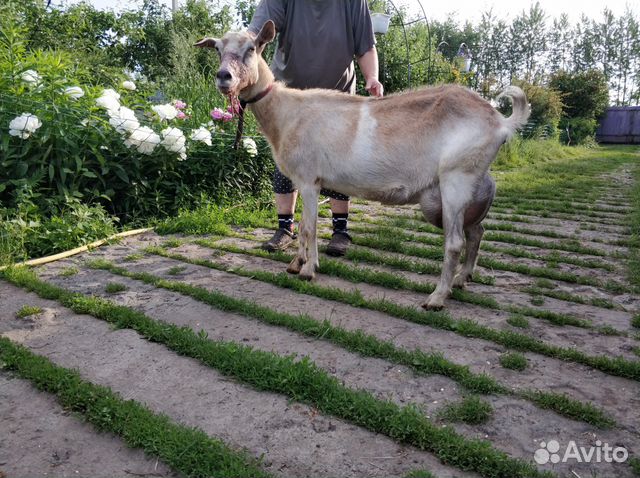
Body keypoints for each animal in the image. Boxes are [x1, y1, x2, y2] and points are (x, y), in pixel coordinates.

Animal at [195, 21, 530, 309]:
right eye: (218, 49)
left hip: (457, 179)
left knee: (455, 242)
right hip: (469, 186)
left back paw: (436, 298)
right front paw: (296, 263)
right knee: (477, 231)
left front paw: (308, 270)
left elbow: (309, 227)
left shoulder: (309, 179)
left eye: (251, 48)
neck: (286, 111)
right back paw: (462, 279)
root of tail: (500, 121)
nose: (223, 77)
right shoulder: (307, 181)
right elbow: (303, 225)